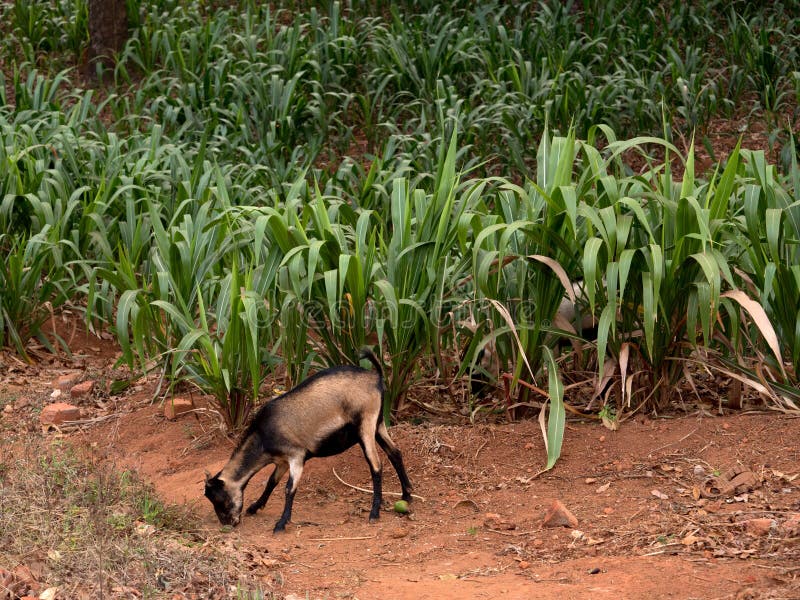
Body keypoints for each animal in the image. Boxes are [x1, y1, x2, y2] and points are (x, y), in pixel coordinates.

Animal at [204, 350, 413, 533]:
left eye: (220, 500)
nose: (229, 523)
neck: (262, 436)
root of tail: (375, 376)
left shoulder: (296, 456)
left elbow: (289, 489)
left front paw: (281, 524)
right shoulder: (281, 461)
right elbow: (271, 482)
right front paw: (255, 507)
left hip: (366, 424)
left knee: (376, 465)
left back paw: (374, 513)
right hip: (378, 425)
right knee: (395, 453)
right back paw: (407, 494)